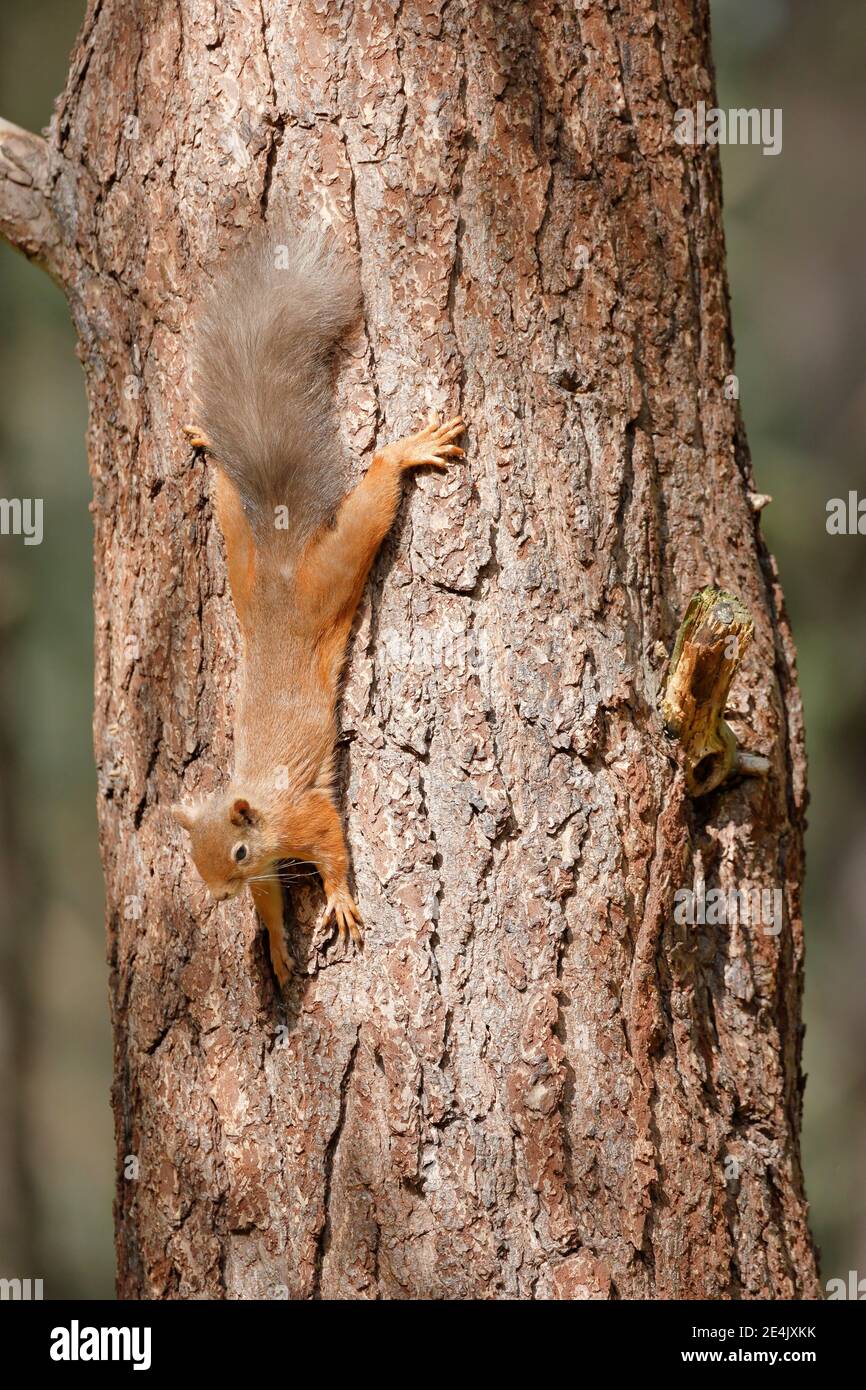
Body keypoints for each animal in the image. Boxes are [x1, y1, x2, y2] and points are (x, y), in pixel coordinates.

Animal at [171, 225, 465, 987]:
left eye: (236, 852)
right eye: (197, 859)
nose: (219, 894)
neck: (260, 810)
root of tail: (280, 567)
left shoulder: (304, 815)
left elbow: (332, 845)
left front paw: (337, 900)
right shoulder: (273, 866)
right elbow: (272, 902)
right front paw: (275, 941)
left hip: (329, 575)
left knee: (371, 507)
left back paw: (404, 455)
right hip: (242, 564)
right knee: (229, 504)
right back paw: (212, 449)